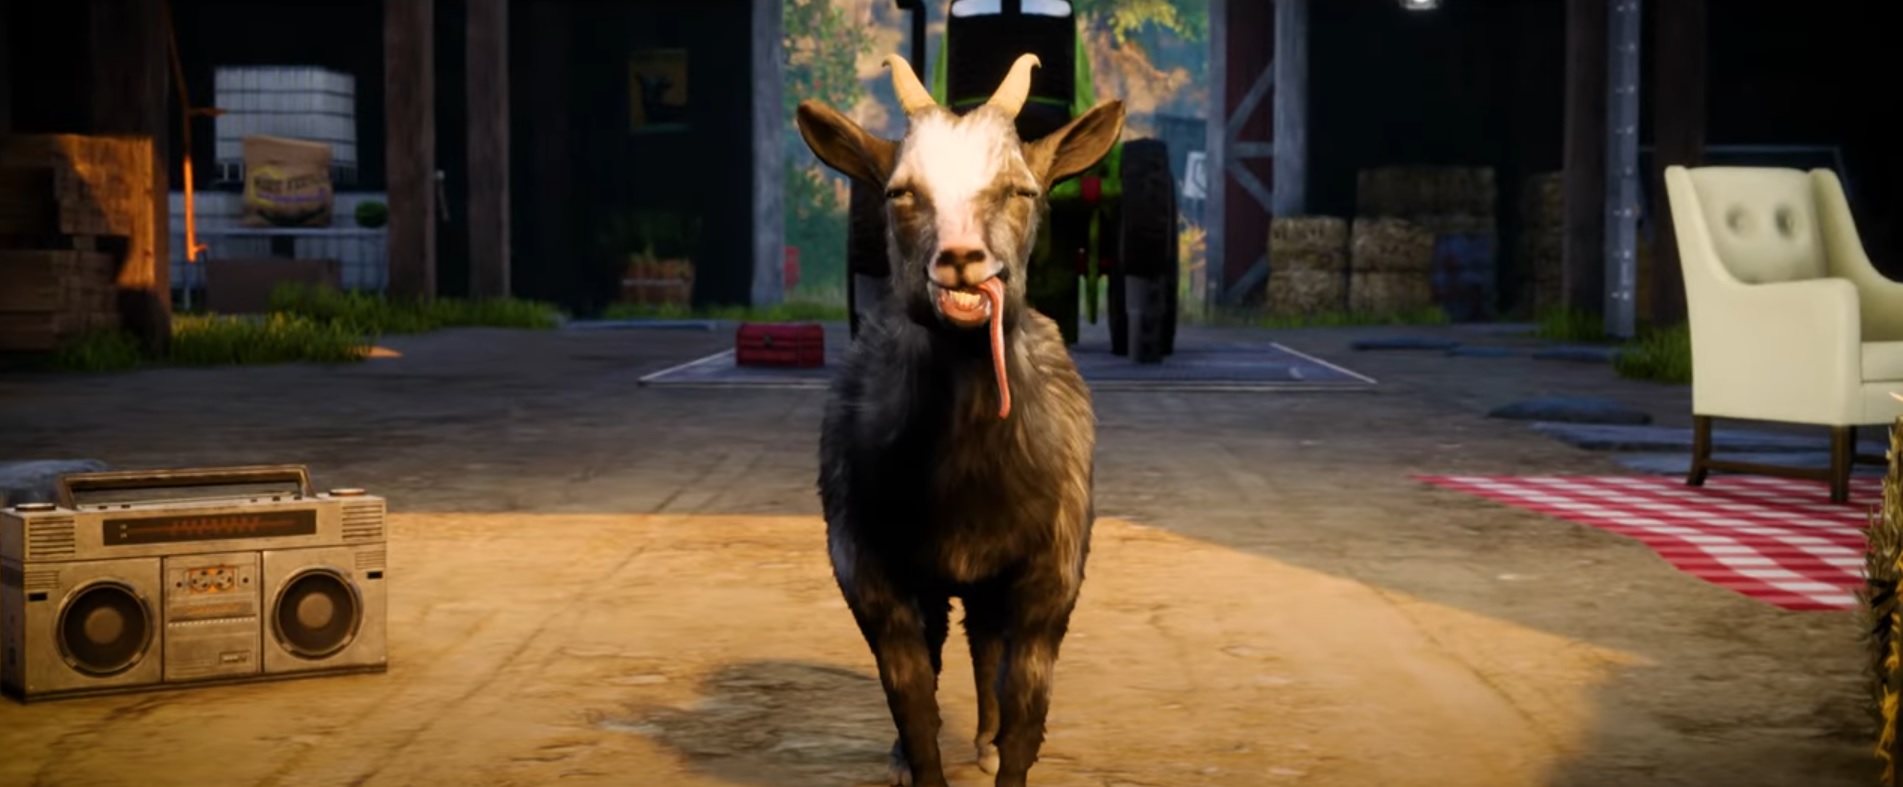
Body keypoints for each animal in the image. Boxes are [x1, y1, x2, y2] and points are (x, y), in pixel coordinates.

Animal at [795, 54, 1124, 787]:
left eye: (1021, 189)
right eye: (899, 192)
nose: (961, 260)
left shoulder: (1052, 571)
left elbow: (1025, 700)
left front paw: (1003, 746)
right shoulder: (868, 566)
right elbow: (912, 696)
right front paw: (912, 757)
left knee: (984, 642)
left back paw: (985, 735)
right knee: (951, 639)